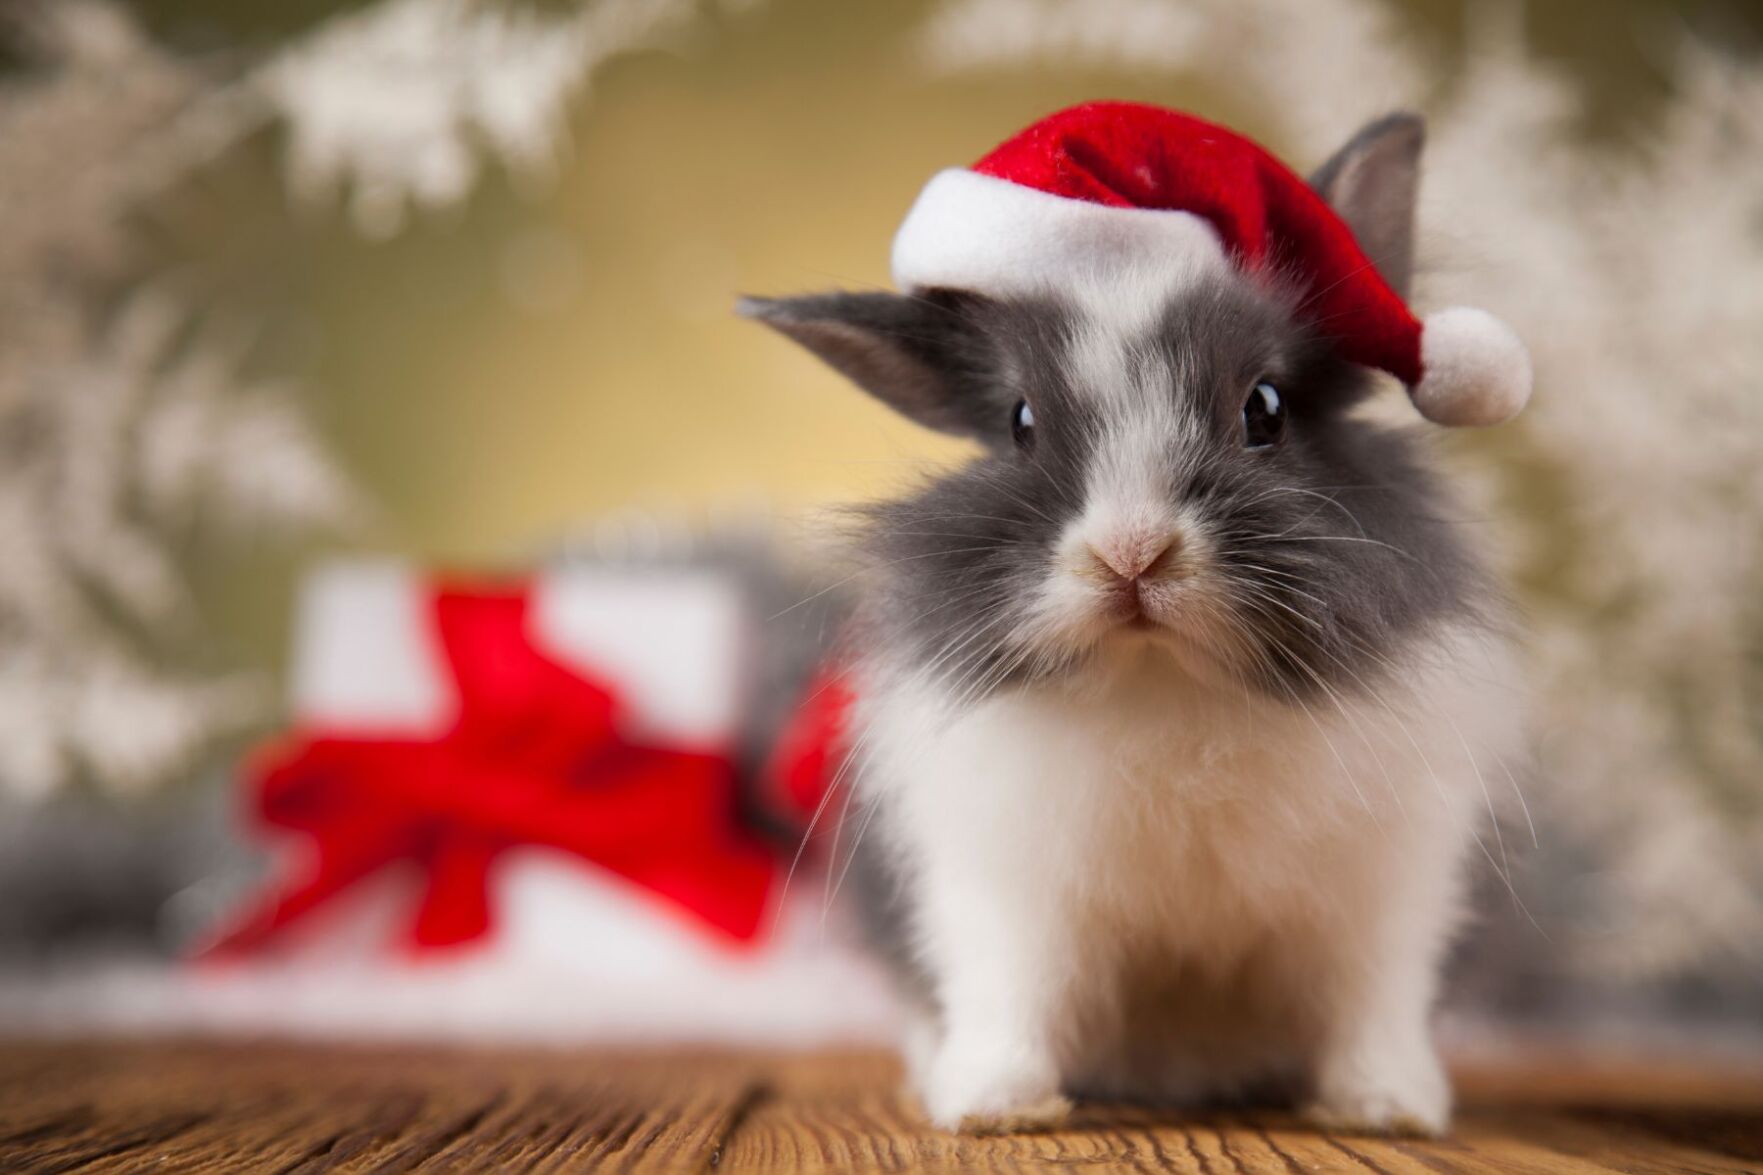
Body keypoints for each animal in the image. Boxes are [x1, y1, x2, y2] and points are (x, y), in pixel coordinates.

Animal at [741, 111, 1523, 1137]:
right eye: (1020, 421)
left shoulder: (1383, 890)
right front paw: (992, 1107)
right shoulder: (998, 890)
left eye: (1265, 409)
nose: (1131, 552)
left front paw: (1386, 1108)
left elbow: (1372, 1002)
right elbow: (1008, 995)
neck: (1161, 676)